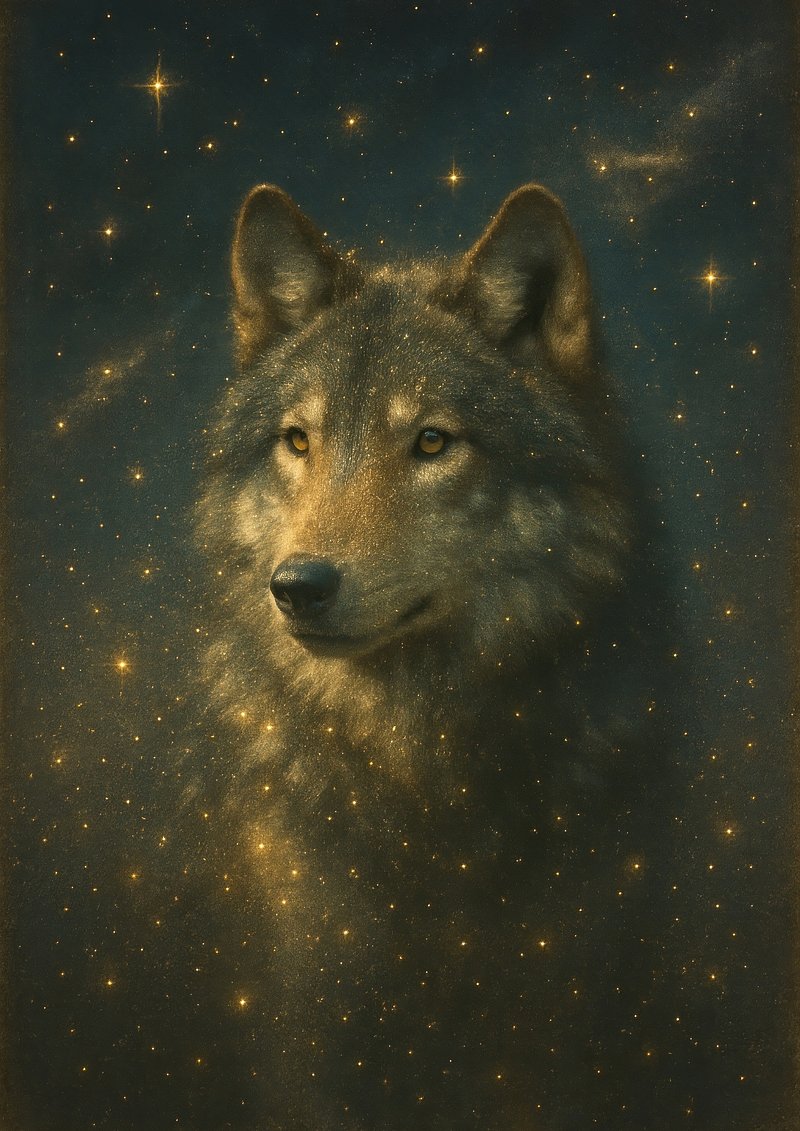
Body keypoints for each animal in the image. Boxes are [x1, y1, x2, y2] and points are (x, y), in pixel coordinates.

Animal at [189, 183, 675, 1129]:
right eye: (297, 441)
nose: (296, 585)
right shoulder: (310, 1016)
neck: (421, 766)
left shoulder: (564, 1006)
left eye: (432, 443)